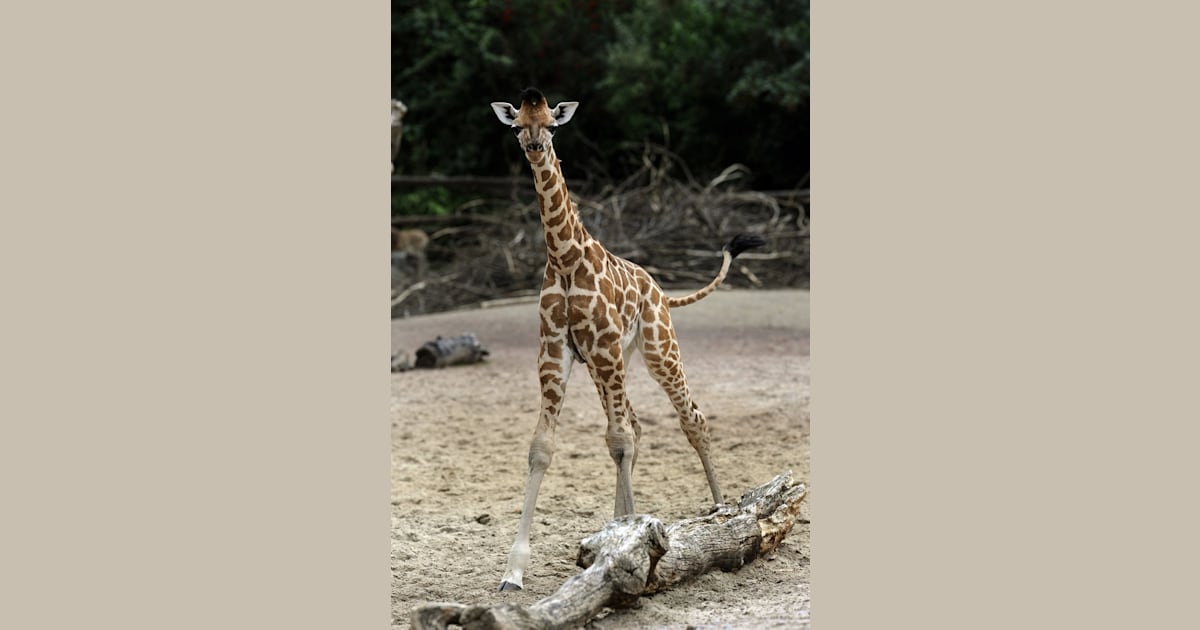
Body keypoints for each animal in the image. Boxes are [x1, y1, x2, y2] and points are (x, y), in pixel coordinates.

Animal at [489, 88, 766, 592]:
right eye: (518, 125)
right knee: (633, 427)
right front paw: (513, 574)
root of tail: (660, 290)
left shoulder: (599, 348)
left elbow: (619, 441)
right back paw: (615, 524)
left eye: (552, 125)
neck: (564, 258)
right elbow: (544, 448)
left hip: (656, 349)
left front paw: (637, 549)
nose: (535, 148)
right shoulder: (555, 352)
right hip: (613, 362)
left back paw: (722, 509)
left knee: (690, 419)